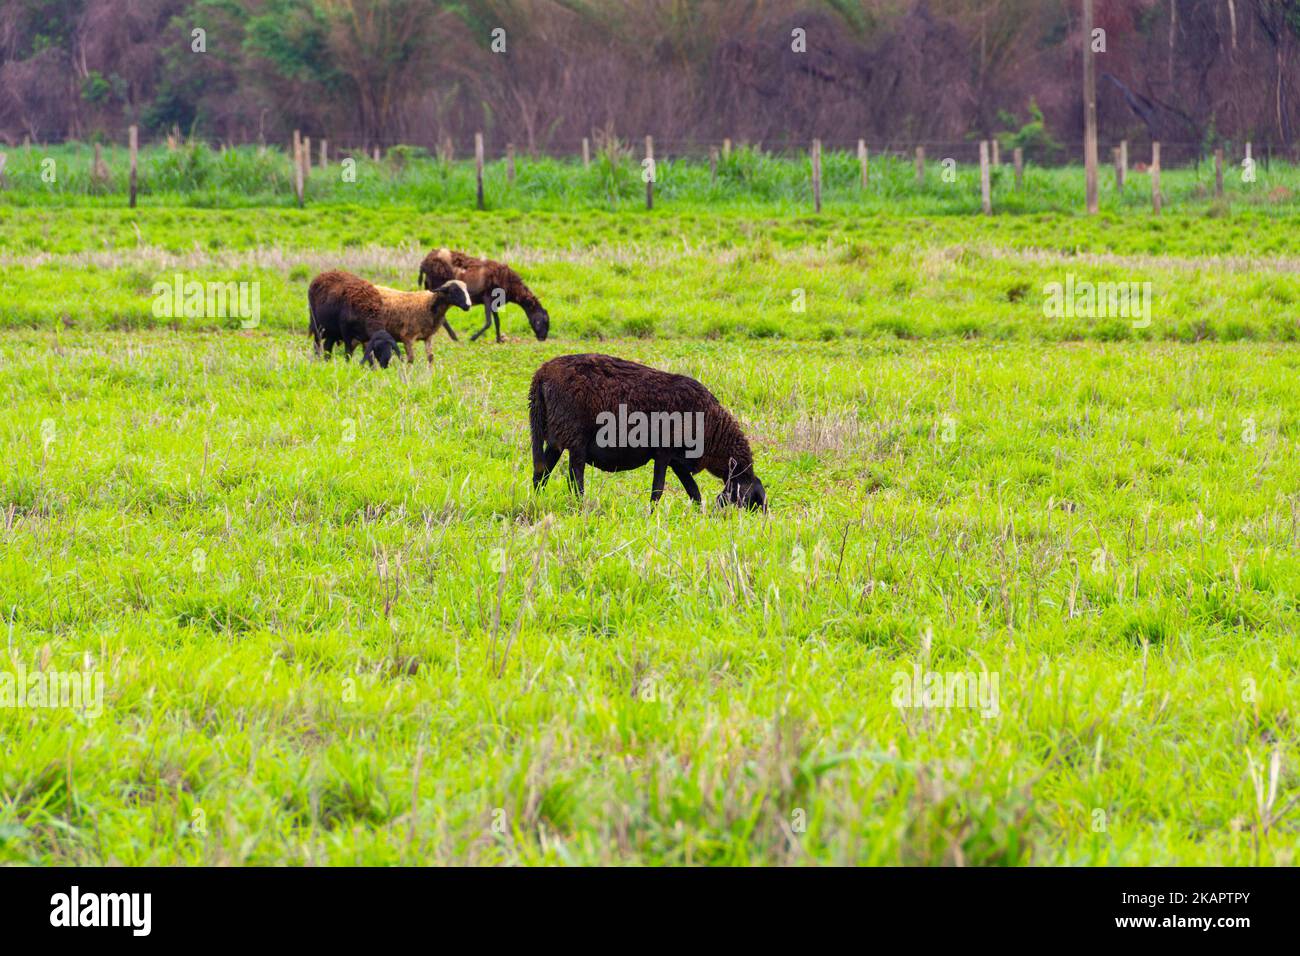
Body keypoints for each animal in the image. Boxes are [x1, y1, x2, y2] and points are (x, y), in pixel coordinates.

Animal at [308, 270, 470, 364]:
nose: (468, 305)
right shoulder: (407, 337)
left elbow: (430, 358)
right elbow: (410, 359)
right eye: (455, 290)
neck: (427, 305)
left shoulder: (427, 337)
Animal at [418, 248, 550, 342]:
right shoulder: (487, 297)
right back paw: (454, 336)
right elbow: (489, 322)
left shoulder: (495, 301)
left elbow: (497, 320)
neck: (512, 287)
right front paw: (473, 338)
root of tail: (424, 262)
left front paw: (499, 339)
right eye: (542, 320)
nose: (543, 338)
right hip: (437, 286)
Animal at [528, 353, 767, 510]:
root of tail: (542, 373)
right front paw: (652, 515)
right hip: (576, 439)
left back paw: (538, 501)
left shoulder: (677, 461)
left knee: (541, 474)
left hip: (556, 438)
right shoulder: (664, 452)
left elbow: (694, 492)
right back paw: (579, 507)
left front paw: (698, 516)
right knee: (574, 480)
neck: (713, 430)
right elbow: (658, 489)